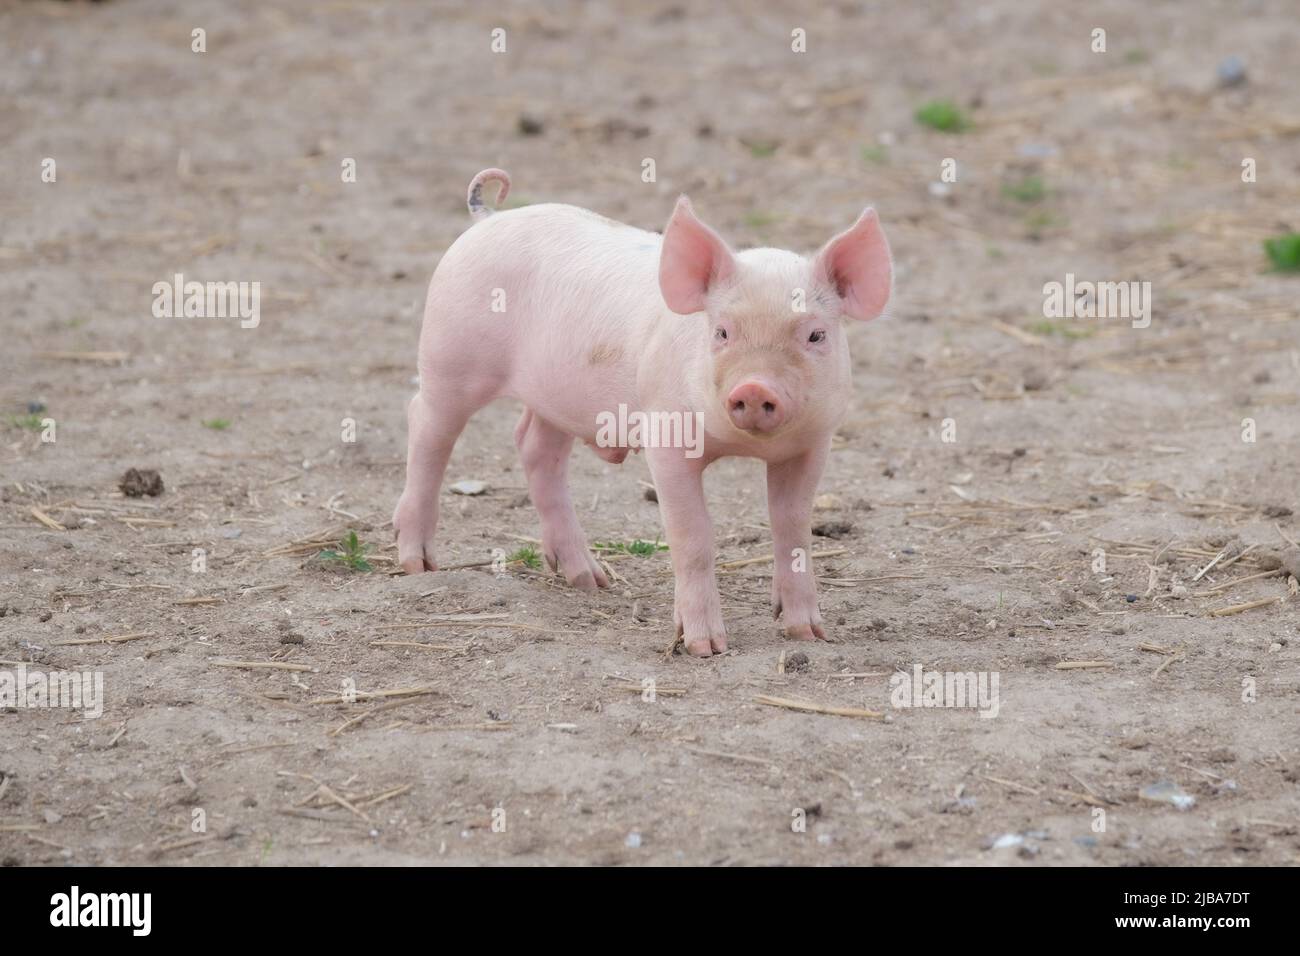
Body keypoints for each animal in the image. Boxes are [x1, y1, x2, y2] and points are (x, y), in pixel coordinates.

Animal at [394, 169, 892, 656]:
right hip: (450, 353)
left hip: (556, 395)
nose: (753, 387)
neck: (744, 446)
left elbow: (793, 530)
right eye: (722, 332)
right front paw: (704, 648)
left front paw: (808, 634)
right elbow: (693, 537)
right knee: (425, 425)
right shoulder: (666, 436)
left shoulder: (812, 445)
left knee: (535, 449)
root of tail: (487, 218)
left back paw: (590, 580)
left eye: (815, 335)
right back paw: (418, 564)